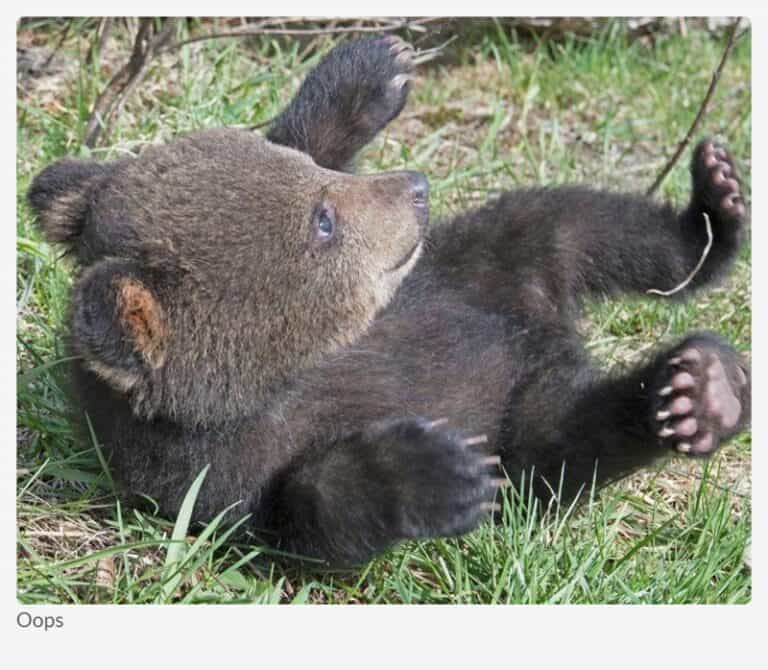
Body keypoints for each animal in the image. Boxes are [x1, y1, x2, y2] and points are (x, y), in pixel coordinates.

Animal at [27, 36, 750, 568]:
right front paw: (434, 469)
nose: (418, 187)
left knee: (585, 221)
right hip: (522, 413)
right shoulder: (215, 474)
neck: (286, 376)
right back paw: (699, 394)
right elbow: (307, 513)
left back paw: (715, 210)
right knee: (567, 442)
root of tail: (552, 337)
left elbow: (307, 127)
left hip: (498, 254)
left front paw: (371, 70)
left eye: (315, 184)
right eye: (322, 222)